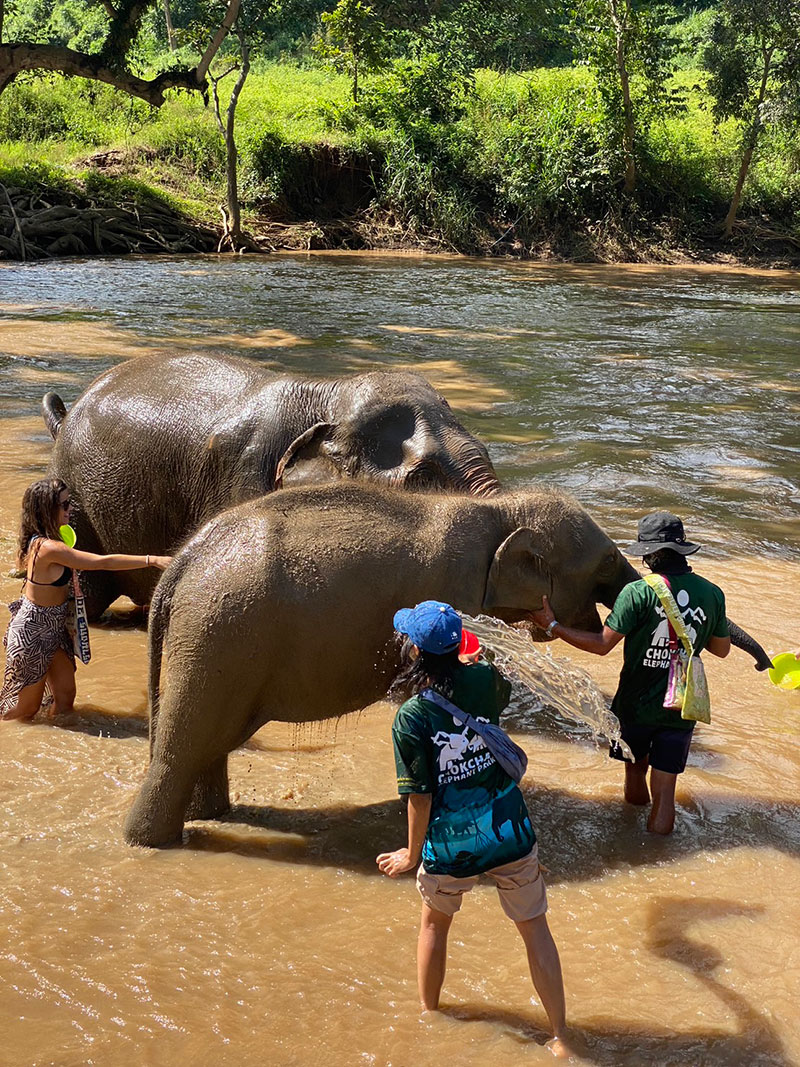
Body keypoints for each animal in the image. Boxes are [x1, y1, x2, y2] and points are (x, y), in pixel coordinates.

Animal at [123, 482, 644, 848]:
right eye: (607, 561)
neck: (501, 510)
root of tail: (180, 565)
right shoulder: (453, 591)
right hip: (219, 637)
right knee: (182, 752)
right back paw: (150, 843)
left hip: (213, 646)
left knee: (206, 746)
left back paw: (209, 817)